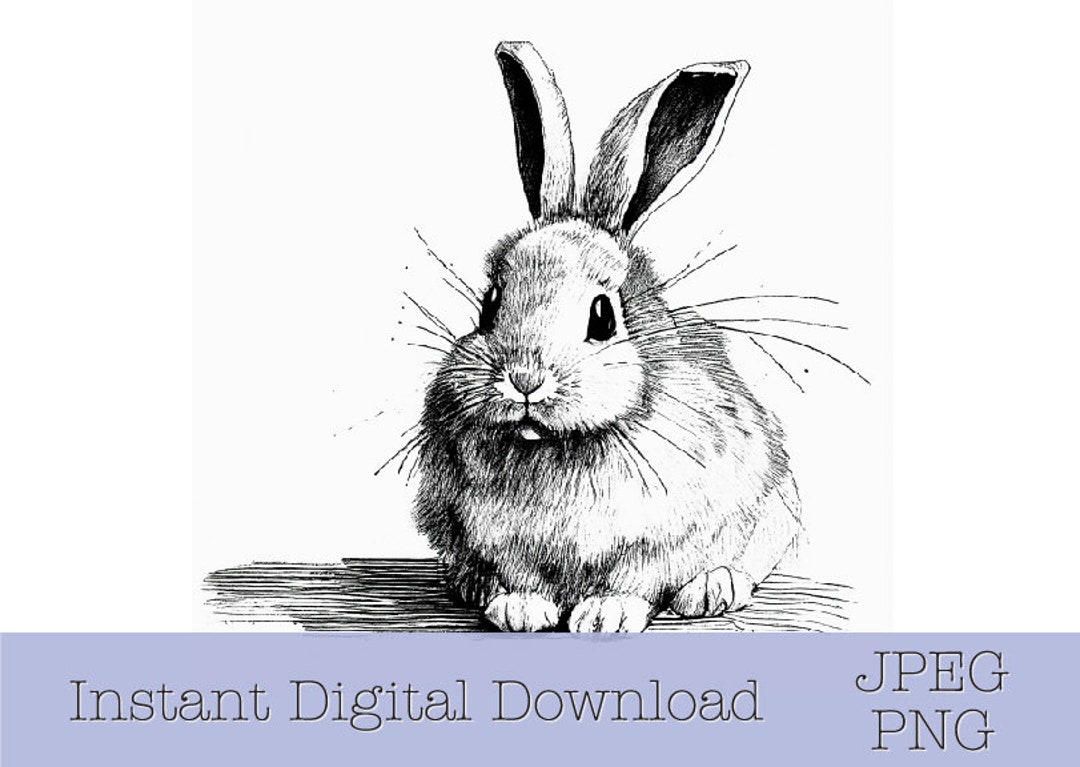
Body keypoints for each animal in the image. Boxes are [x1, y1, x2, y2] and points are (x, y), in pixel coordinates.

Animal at [412, 41, 802, 632]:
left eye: (603, 317)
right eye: (490, 304)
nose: (525, 380)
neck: (556, 444)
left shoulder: (663, 537)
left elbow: (635, 577)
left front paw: (605, 616)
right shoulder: (494, 536)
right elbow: (518, 574)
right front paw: (520, 609)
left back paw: (712, 589)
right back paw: (472, 583)